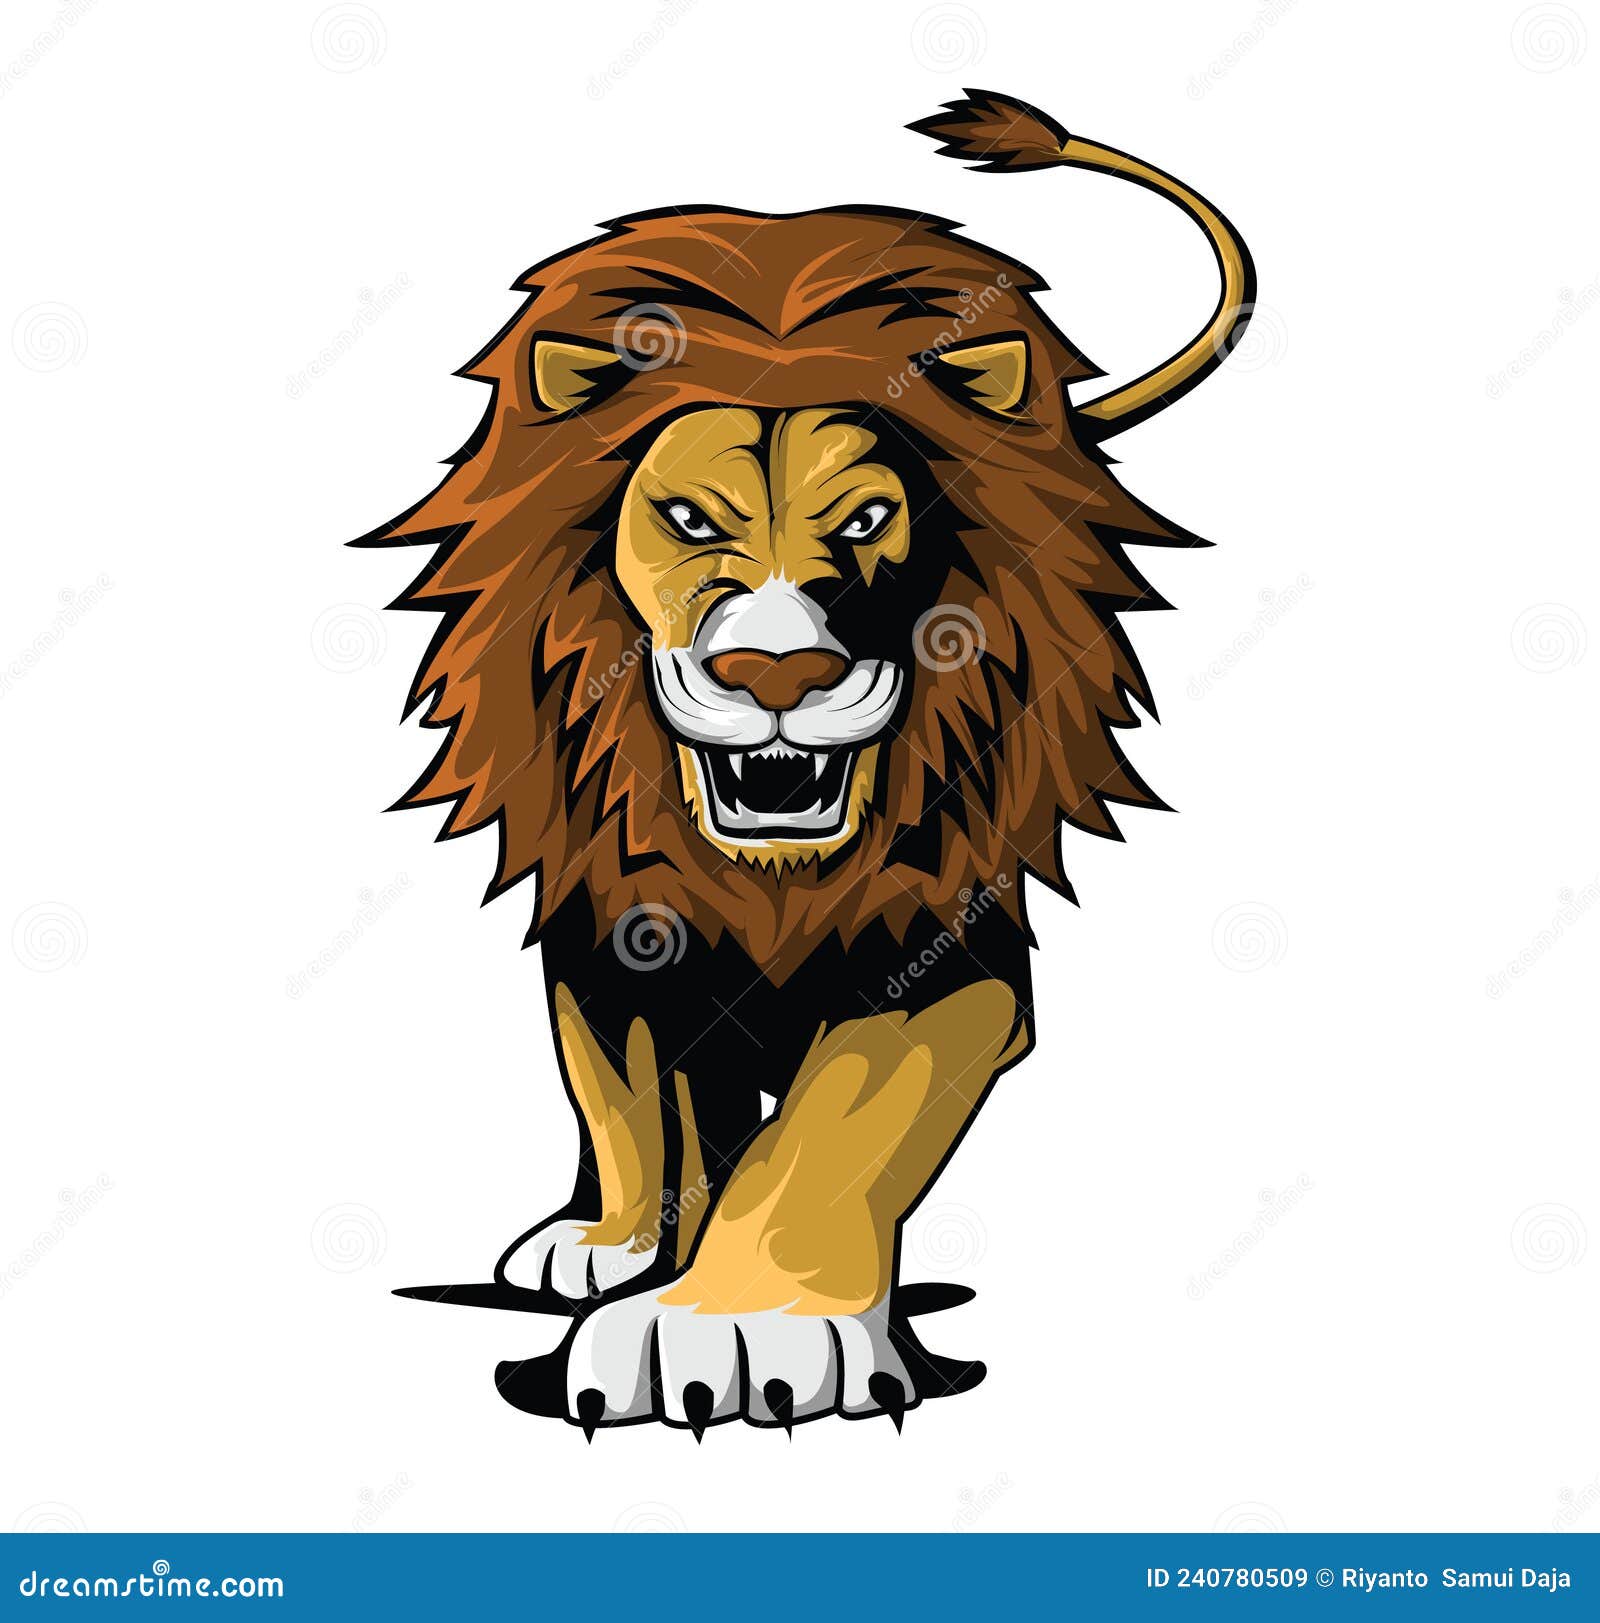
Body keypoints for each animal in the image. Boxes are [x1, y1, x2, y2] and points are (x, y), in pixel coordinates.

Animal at [357, 90, 1254, 1434]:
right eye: (686, 520)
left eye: (871, 519)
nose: (773, 674)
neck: (771, 884)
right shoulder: (615, 921)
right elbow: (625, 1084)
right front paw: (633, 1252)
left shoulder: (939, 942)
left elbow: (835, 1122)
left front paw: (730, 1324)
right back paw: (595, 1236)